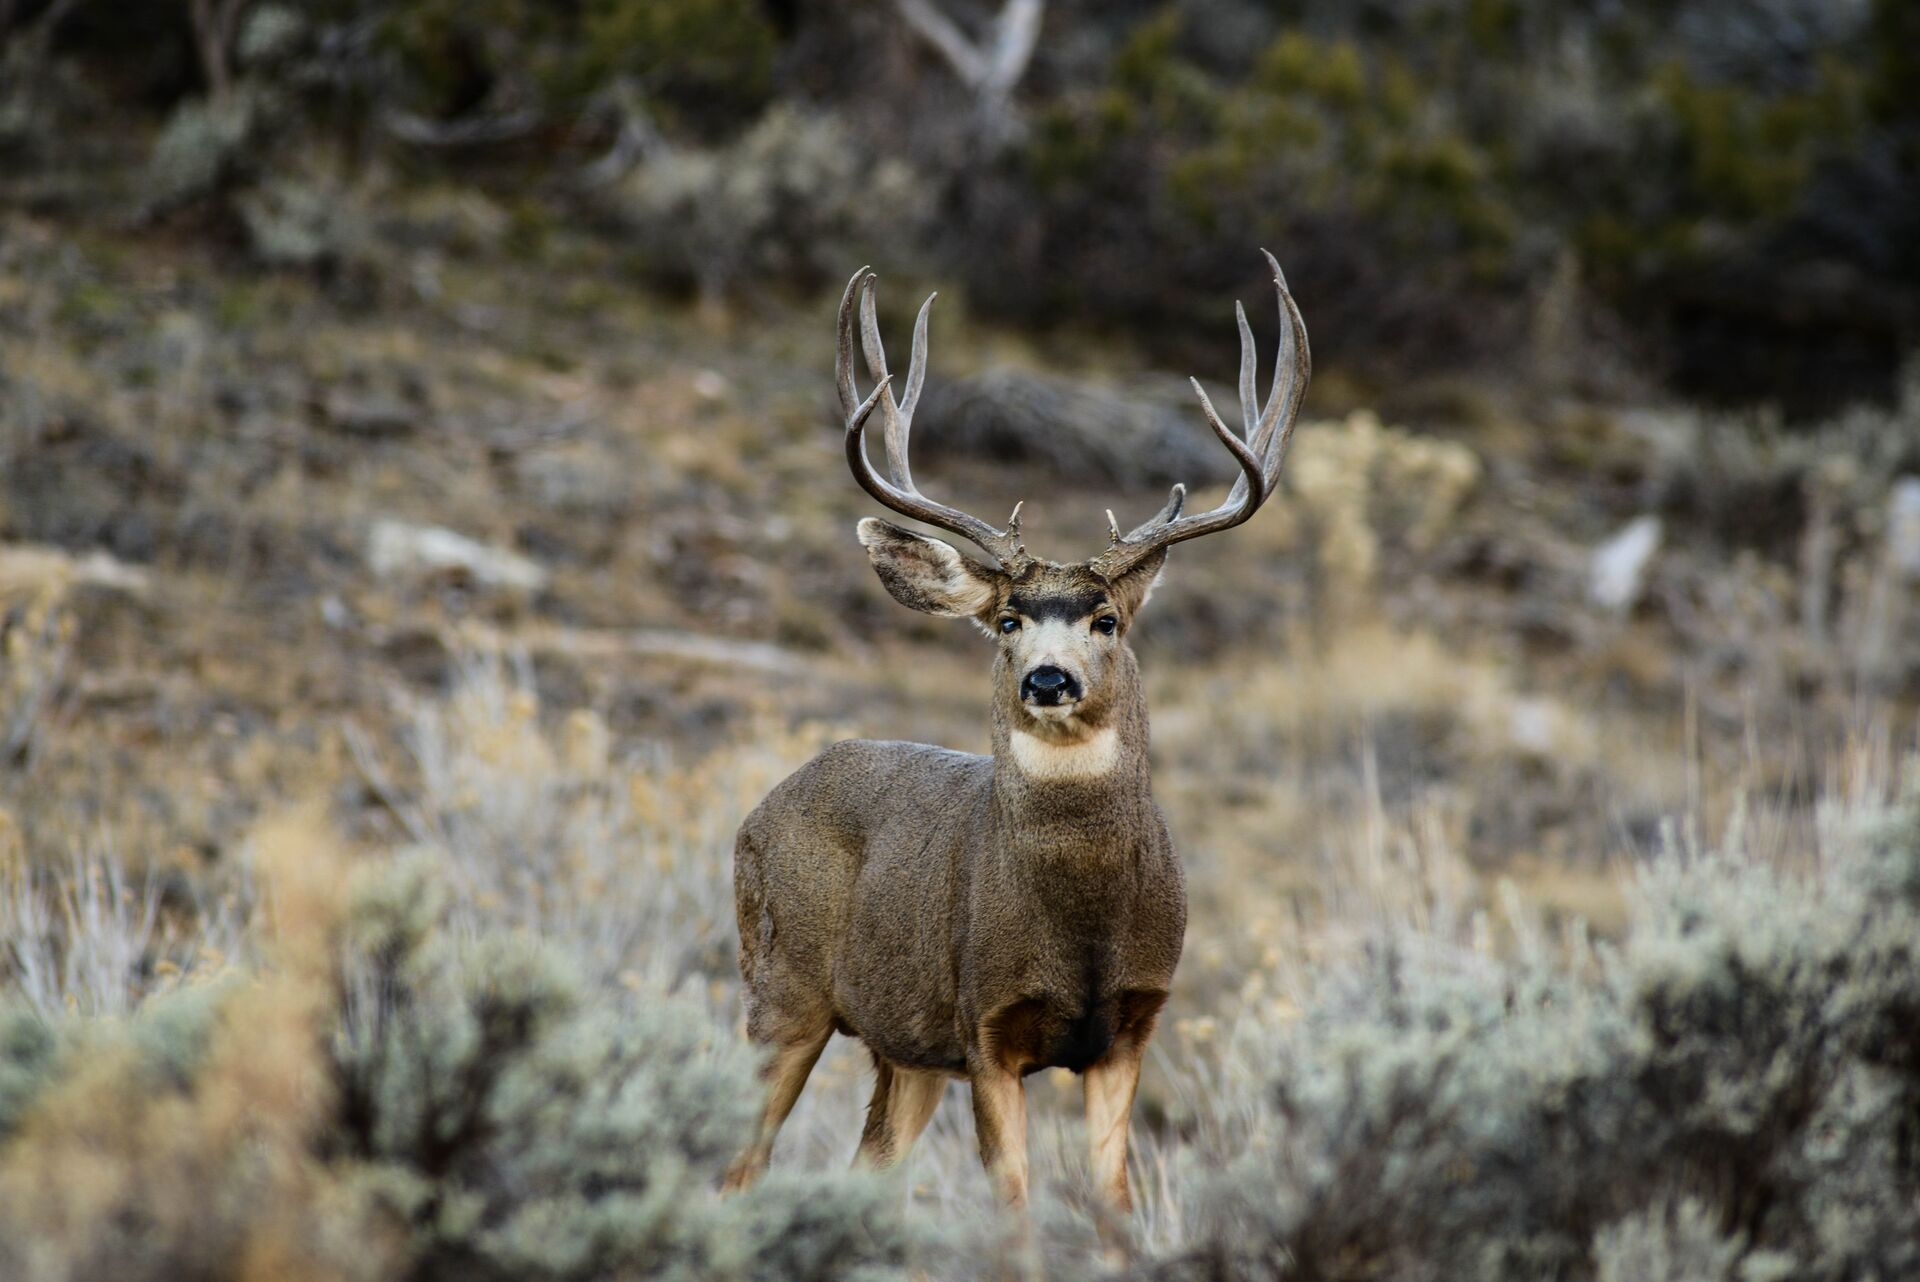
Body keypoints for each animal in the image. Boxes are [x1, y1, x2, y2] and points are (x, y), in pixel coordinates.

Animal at [724, 252, 1310, 1223]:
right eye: (1007, 620)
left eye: (1107, 619)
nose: (1049, 679)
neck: (1080, 920)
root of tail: (760, 808)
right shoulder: (986, 1027)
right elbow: (1017, 1211)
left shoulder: (1131, 1026)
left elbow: (1113, 1204)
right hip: (782, 987)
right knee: (739, 1165)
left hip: (903, 1046)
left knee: (863, 1167)